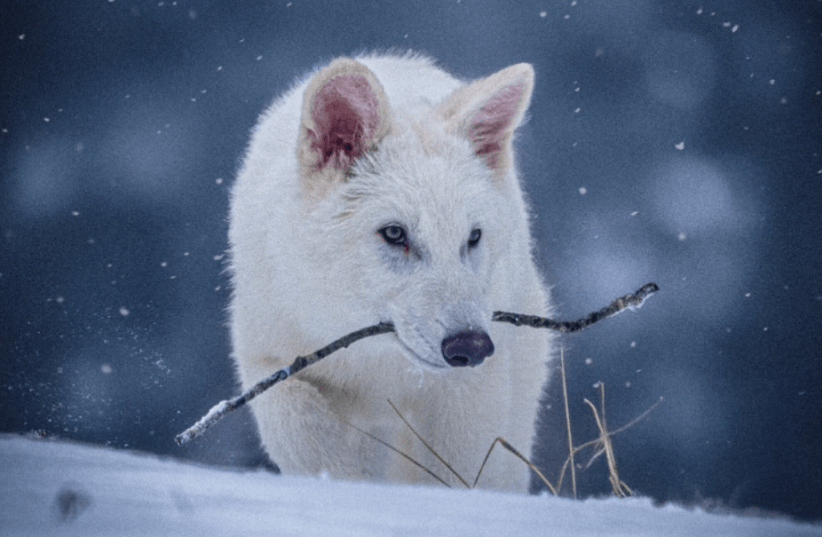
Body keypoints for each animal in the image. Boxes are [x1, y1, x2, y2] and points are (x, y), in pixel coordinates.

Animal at [228, 52, 555, 492]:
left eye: (472, 237)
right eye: (395, 233)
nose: (471, 346)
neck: (376, 362)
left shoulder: (468, 392)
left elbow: (456, 474)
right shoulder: (270, 362)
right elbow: (308, 438)